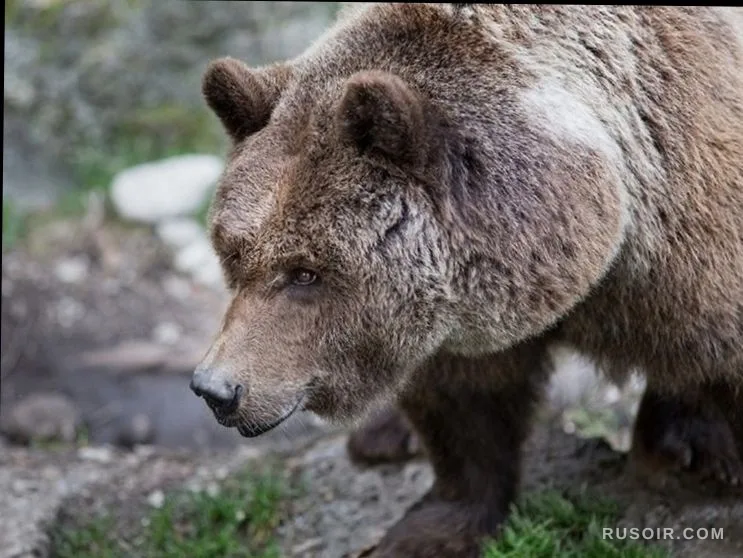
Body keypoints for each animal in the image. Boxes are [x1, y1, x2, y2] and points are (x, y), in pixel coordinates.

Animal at [189, 4, 743, 557]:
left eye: (305, 271)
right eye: (233, 253)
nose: (216, 389)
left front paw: (699, 448)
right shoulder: (451, 314)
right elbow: (464, 405)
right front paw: (433, 526)